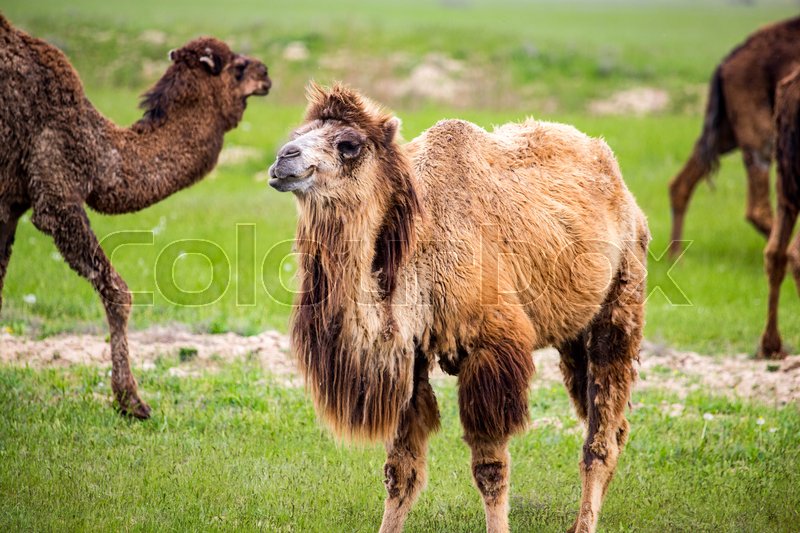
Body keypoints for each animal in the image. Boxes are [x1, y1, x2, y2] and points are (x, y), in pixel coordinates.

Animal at [0, 15, 270, 418]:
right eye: (237, 68)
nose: (265, 72)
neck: (103, 152)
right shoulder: (55, 191)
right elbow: (118, 290)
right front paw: (131, 401)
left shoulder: (10, 203)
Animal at [268, 83, 649, 533]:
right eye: (299, 133)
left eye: (349, 144)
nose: (283, 158)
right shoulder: (411, 355)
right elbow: (401, 471)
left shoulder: (491, 349)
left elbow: (490, 468)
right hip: (572, 333)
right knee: (611, 422)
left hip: (622, 299)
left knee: (601, 434)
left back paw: (583, 523)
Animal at [668, 16, 800, 258]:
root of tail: (728, 61)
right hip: (761, 131)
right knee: (758, 209)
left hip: (726, 132)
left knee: (682, 182)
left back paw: (676, 257)